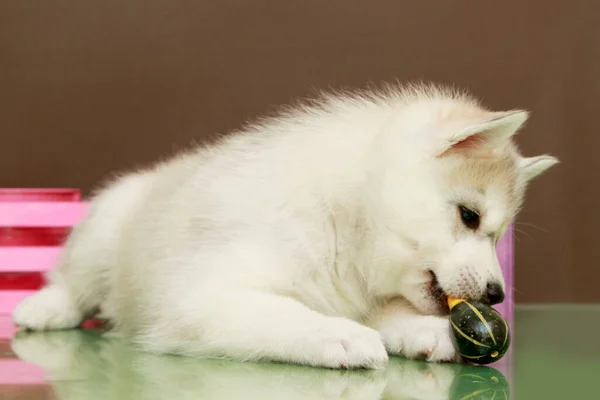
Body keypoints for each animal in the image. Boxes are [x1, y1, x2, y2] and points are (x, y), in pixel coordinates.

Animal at [12, 83, 556, 368]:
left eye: (497, 235)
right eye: (470, 216)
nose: (496, 294)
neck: (345, 223)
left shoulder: (354, 289)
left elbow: (375, 310)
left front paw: (420, 328)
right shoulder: (201, 298)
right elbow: (286, 312)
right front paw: (339, 336)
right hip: (104, 230)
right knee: (73, 281)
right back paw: (43, 308)